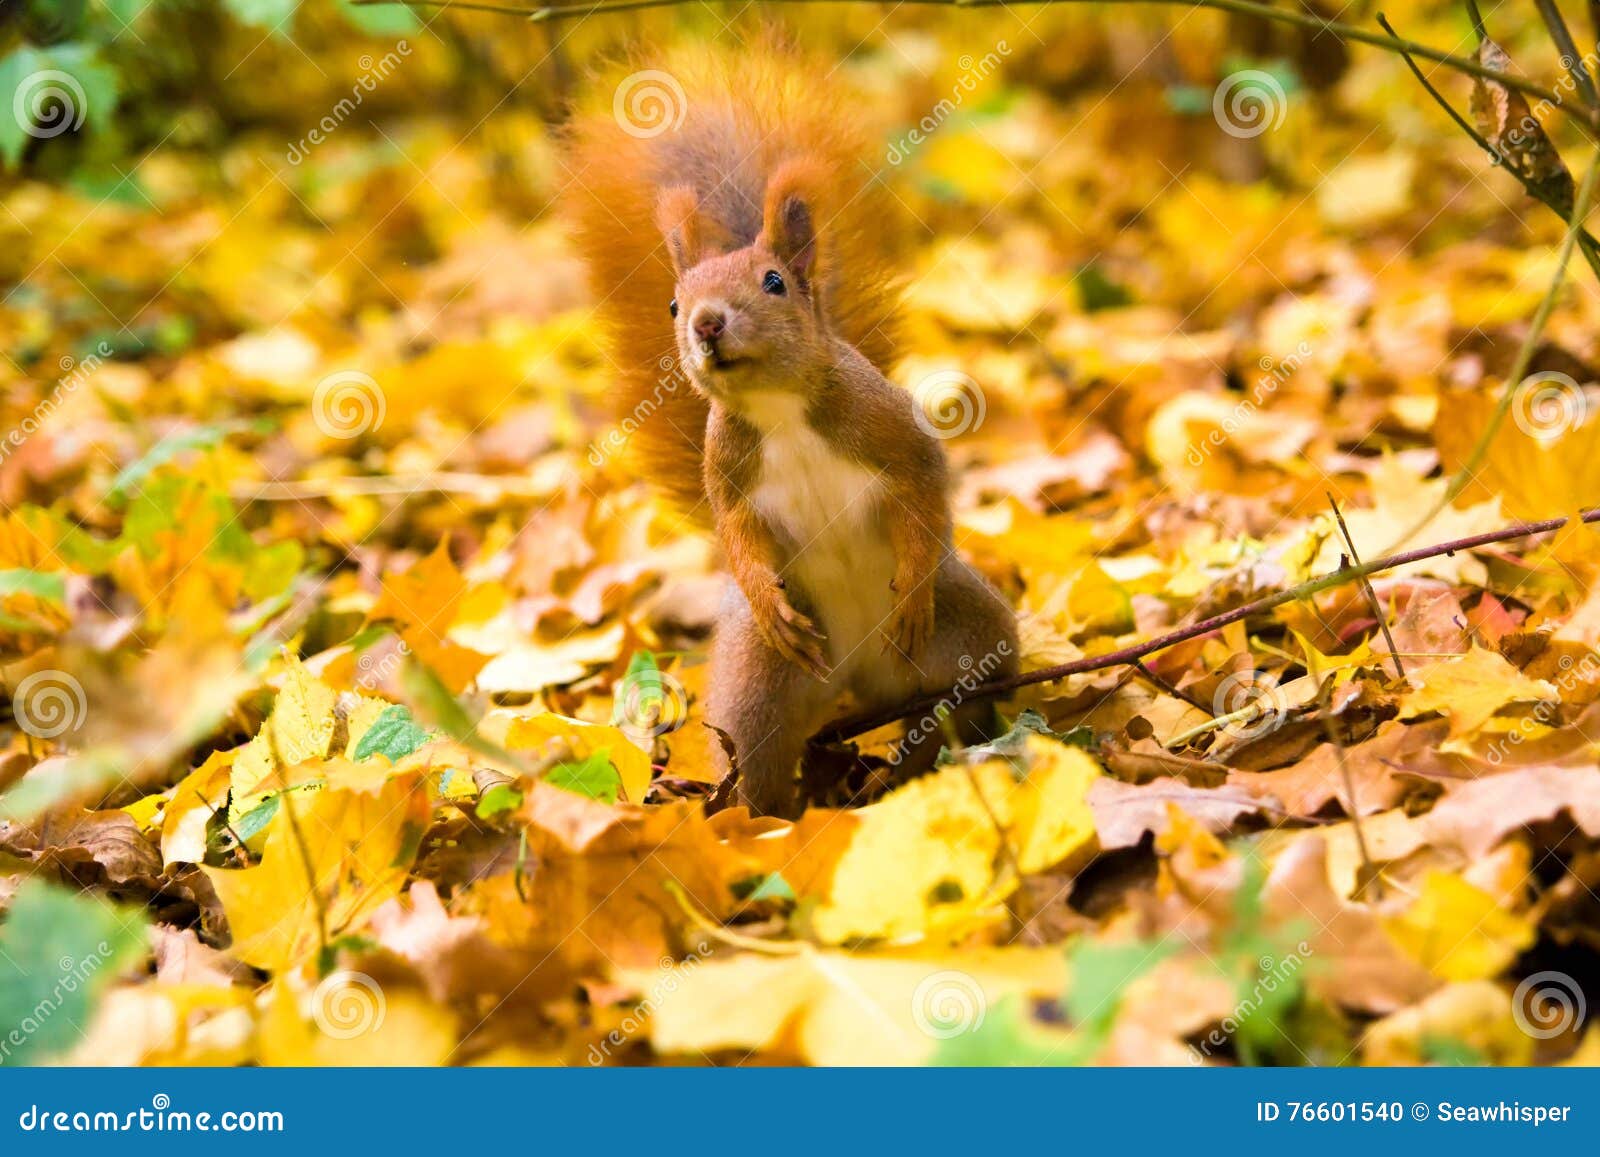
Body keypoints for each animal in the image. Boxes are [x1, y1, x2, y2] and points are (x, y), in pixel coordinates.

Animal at [564, 41, 1018, 817]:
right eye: (673, 304)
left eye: (774, 282)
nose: (706, 323)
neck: (777, 404)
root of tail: (861, 680)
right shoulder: (726, 467)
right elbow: (737, 530)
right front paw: (762, 587)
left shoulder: (888, 427)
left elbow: (924, 487)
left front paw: (912, 585)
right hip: (761, 680)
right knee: (760, 756)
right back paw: (772, 820)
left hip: (974, 630)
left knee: (965, 697)